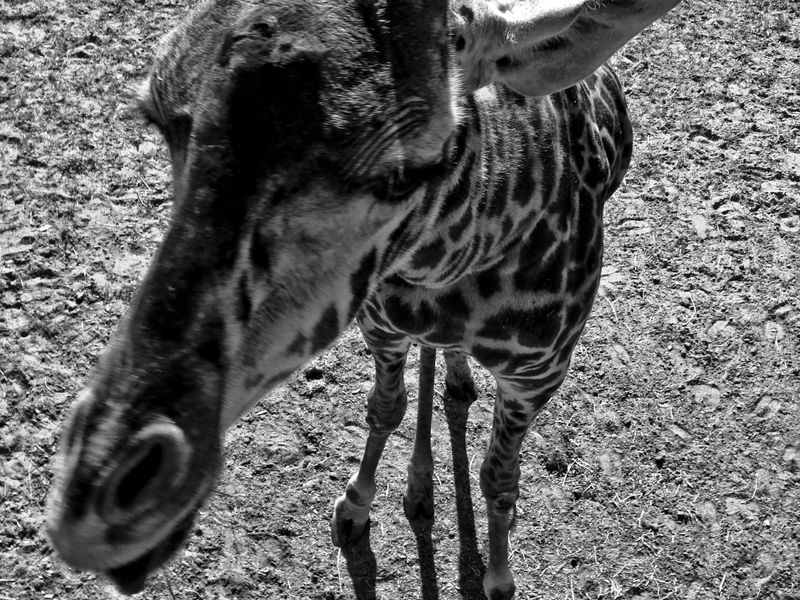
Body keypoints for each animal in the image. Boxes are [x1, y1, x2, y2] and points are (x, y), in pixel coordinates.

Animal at [46, 0, 680, 598]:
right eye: (159, 120)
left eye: (405, 173)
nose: (101, 493)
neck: (451, 266)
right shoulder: (380, 322)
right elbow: (385, 408)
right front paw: (356, 507)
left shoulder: (540, 371)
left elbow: (499, 476)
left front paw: (499, 577)